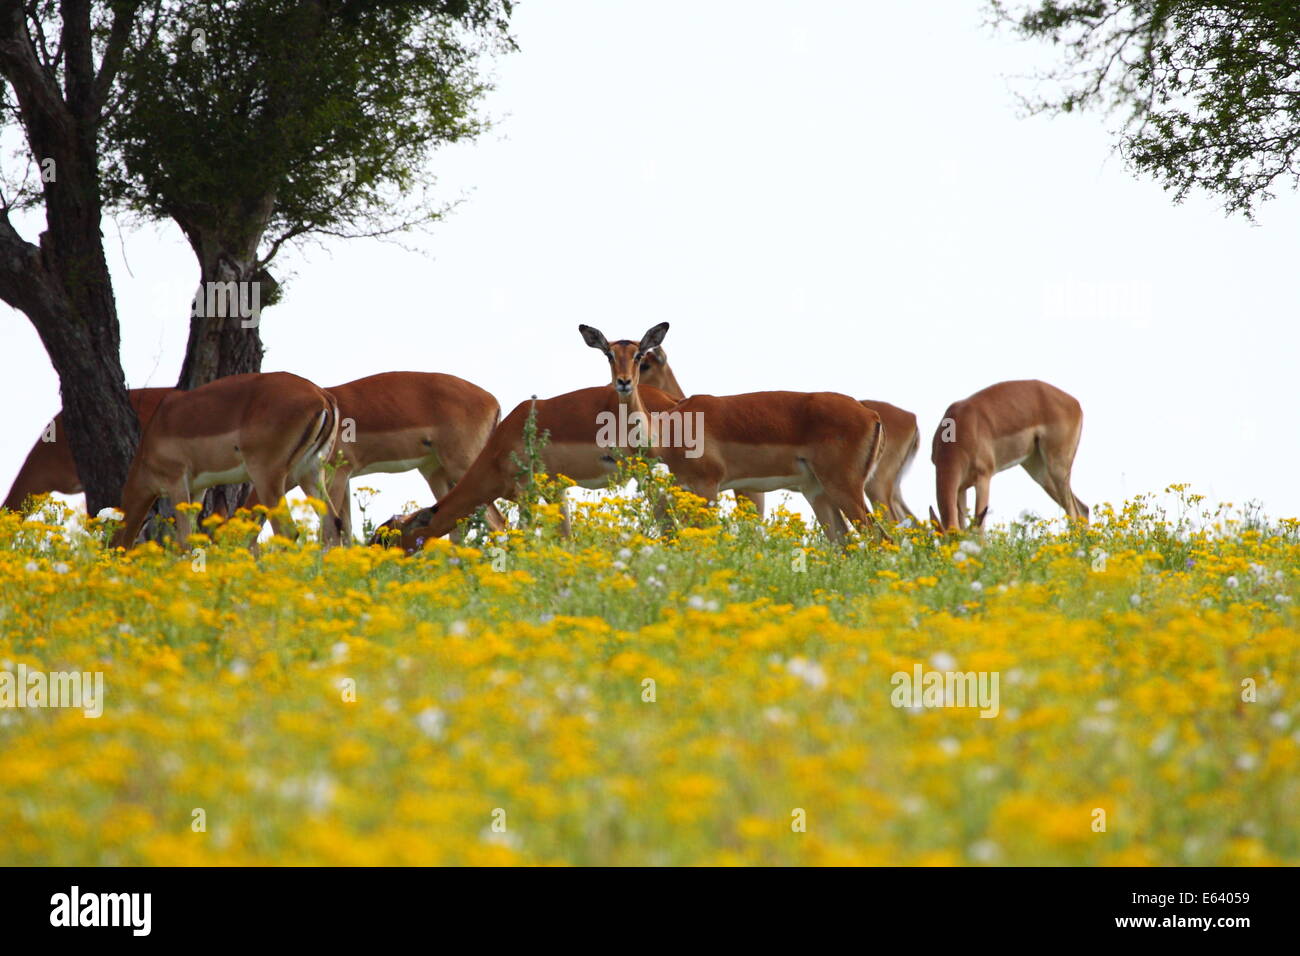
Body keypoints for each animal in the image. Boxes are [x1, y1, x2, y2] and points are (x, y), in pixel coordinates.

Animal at [110, 372, 342, 548]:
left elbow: (184, 539)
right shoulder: (197, 488)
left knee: (288, 531)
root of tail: (322, 396)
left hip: (267, 477)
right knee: (334, 526)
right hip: (310, 472)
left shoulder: (176, 482)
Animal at [244, 372, 507, 540]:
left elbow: (332, 525)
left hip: (463, 466)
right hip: (434, 472)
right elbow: (346, 525)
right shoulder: (346, 479)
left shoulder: (336, 474)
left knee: (496, 521)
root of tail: (492, 399)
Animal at [929, 379, 1088, 532]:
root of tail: (1075, 402)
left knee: (1074, 512)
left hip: (1058, 468)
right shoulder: (961, 488)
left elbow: (980, 529)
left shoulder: (983, 479)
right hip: (1040, 472)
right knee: (1083, 509)